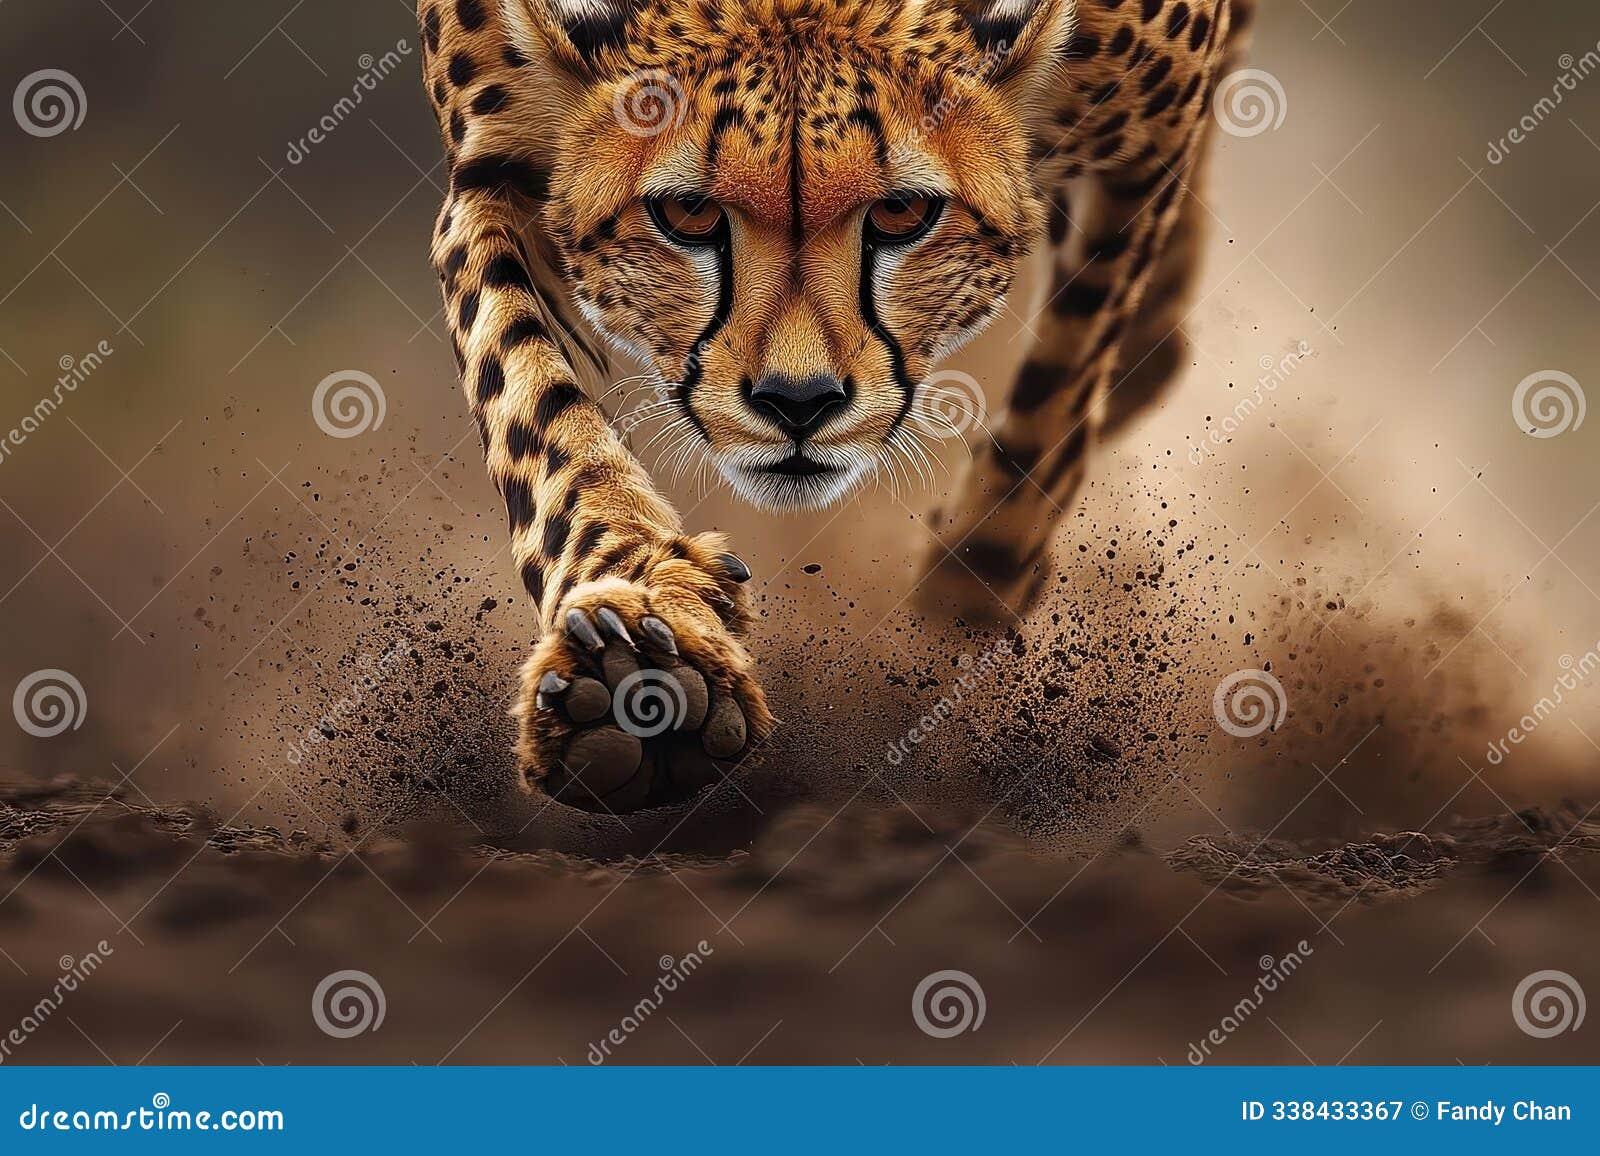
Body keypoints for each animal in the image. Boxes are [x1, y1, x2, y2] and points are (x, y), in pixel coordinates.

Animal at [415, 0, 1256, 813]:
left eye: (904, 212)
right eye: (687, 213)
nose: (798, 402)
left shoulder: (1151, 145)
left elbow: (1059, 387)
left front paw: (958, 618)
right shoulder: (495, 173)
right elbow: (534, 402)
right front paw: (638, 647)